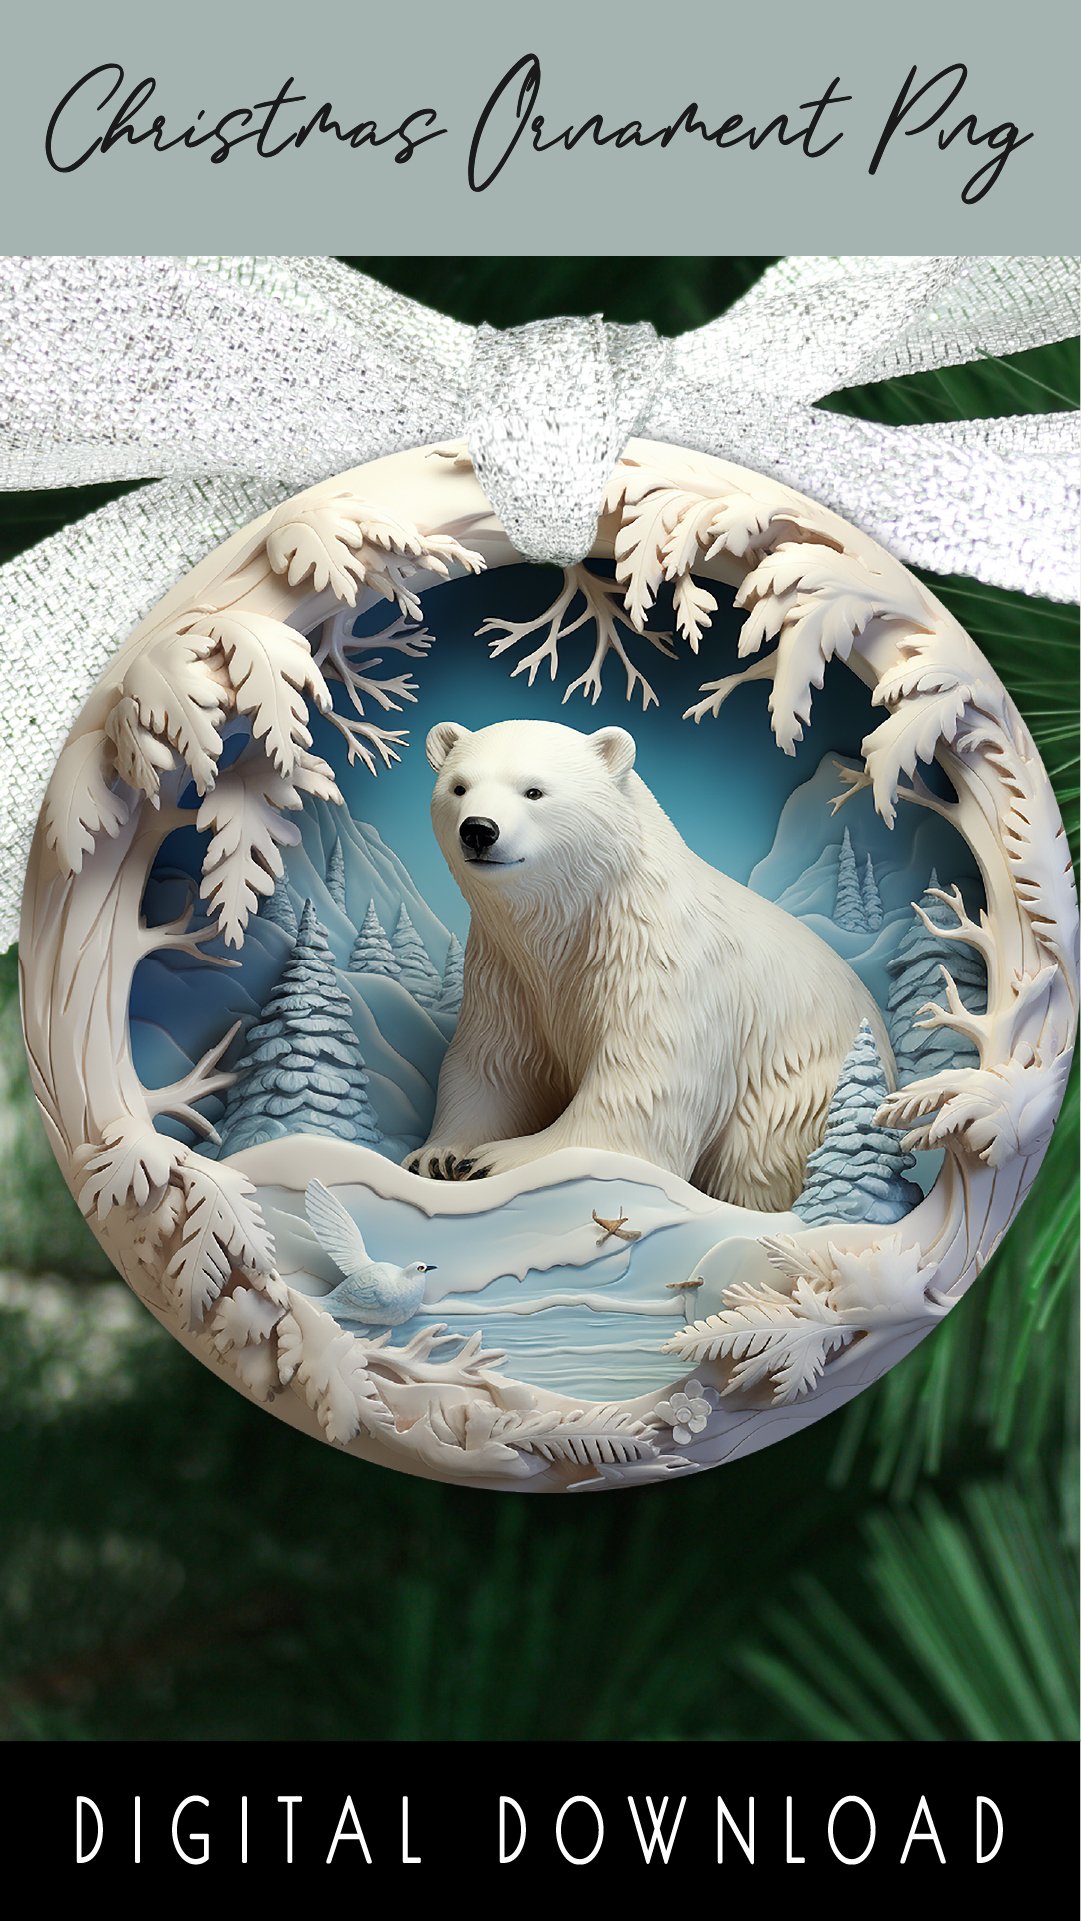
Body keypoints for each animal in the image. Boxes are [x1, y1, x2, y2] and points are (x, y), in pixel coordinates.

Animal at [405, 717, 893, 1212]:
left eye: (534, 791)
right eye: (459, 786)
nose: (479, 829)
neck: (570, 925)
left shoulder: (659, 962)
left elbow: (637, 1089)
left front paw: (500, 1159)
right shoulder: (504, 970)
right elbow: (494, 1062)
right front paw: (441, 1156)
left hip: (796, 1096)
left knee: (758, 1157)